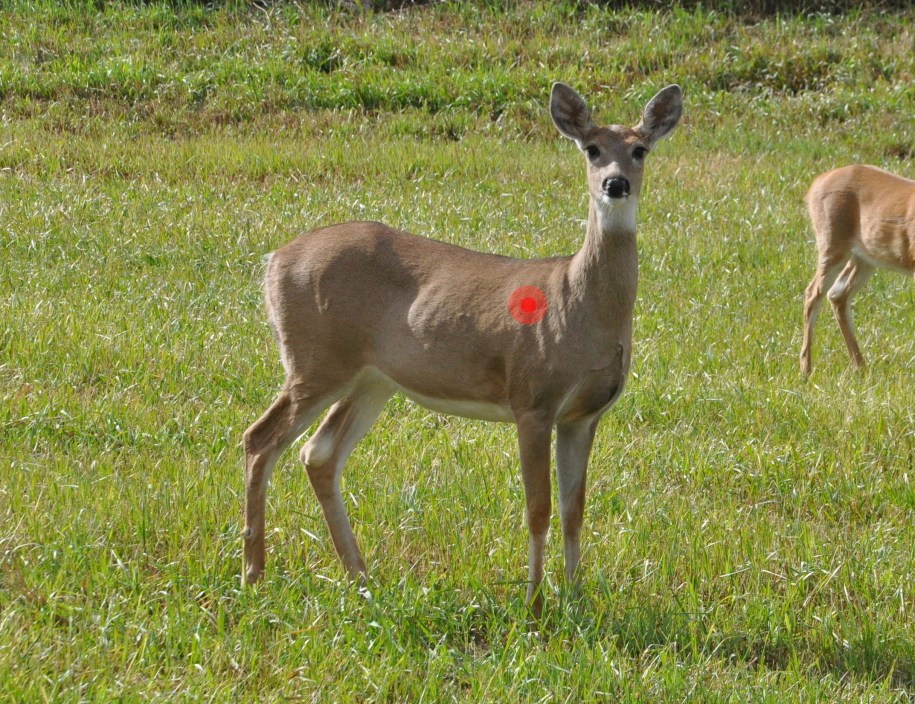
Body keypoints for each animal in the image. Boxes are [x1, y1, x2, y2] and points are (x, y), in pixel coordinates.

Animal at [242, 82, 683, 616]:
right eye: (592, 149)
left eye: (640, 150)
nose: (615, 184)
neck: (582, 306)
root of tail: (273, 262)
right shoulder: (532, 398)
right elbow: (538, 509)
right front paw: (535, 607)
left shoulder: (583, 415)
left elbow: (574, 510)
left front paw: (576, 602)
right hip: (315, 359)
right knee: (260, 439)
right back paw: (254, 574)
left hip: (371, 379)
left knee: (318, 453)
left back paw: (361, 578)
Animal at [800, 164, 915, 374]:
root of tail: (816, 183)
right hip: (832, 243)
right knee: (813, 293)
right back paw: (806, 369)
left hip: (864, 257)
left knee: (837, 294)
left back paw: (860, 366)